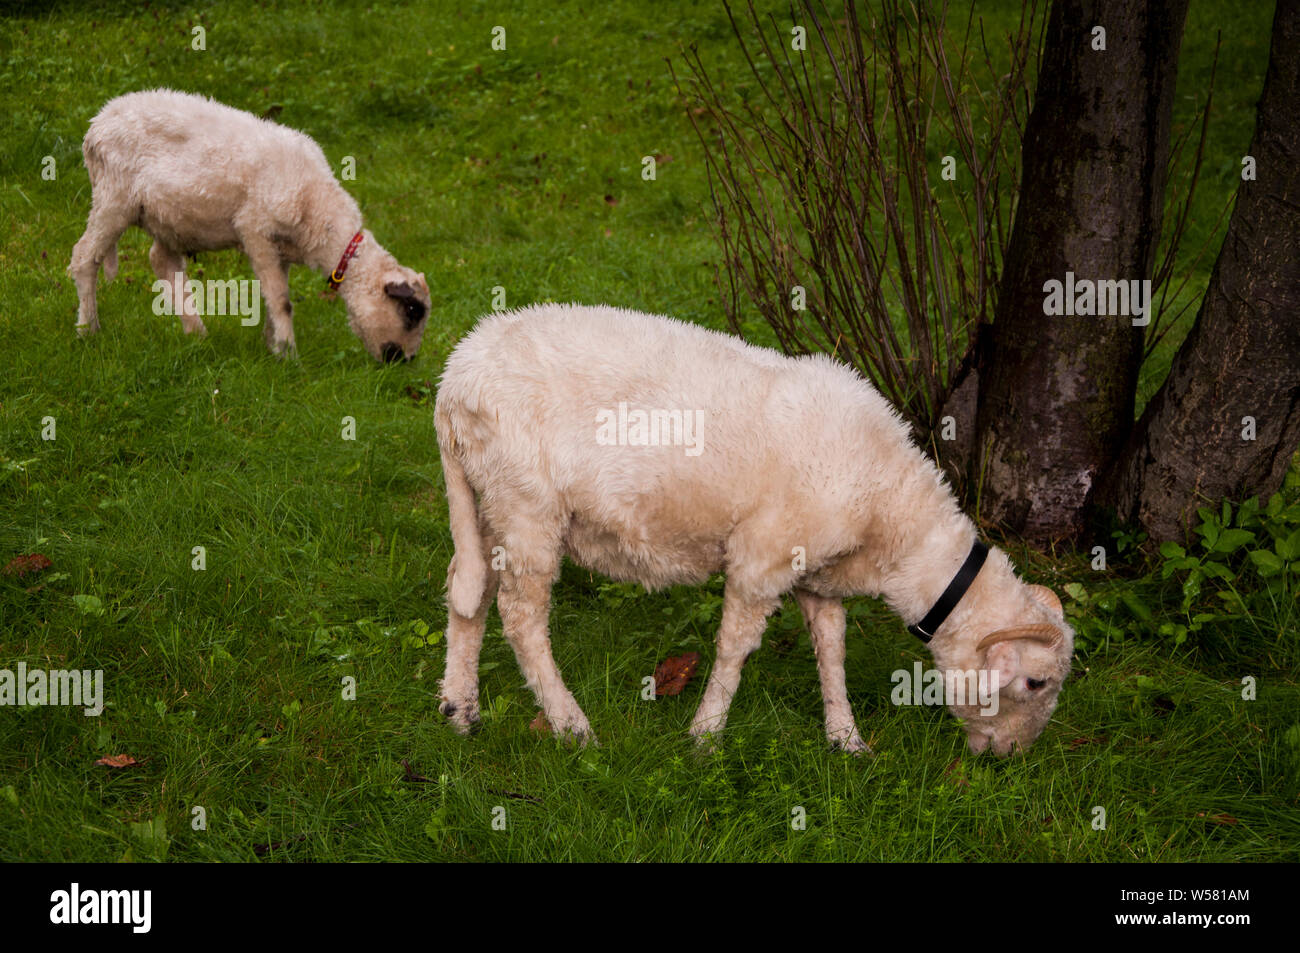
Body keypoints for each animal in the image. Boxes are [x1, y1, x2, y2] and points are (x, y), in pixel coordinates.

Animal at [68, 89, 430, 363]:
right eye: (413, 310)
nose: (403, 361)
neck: (319, 212)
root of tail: (97, 124)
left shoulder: (281, 249)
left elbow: (276, 298)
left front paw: (274, 346)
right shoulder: (256, 231)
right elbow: (281, 299)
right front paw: (289, 354)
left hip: (168, 217)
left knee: (163, 263)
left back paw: (198, 335)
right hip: (114, 197)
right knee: (84, 257)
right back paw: (88, 329)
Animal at [434, 303, 1075, 755]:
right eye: (1036, 683)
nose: (1011, 756)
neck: (893, 523)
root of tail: (454, 379)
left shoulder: (817, 573)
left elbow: (831, 649)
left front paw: (846, 740)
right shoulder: (761, 557)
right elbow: (735, 649)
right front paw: (704, 736)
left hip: (489, 499)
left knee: (469, 589)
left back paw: (459, 710)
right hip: (527, 505)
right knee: (520, 617)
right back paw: (572, 726)